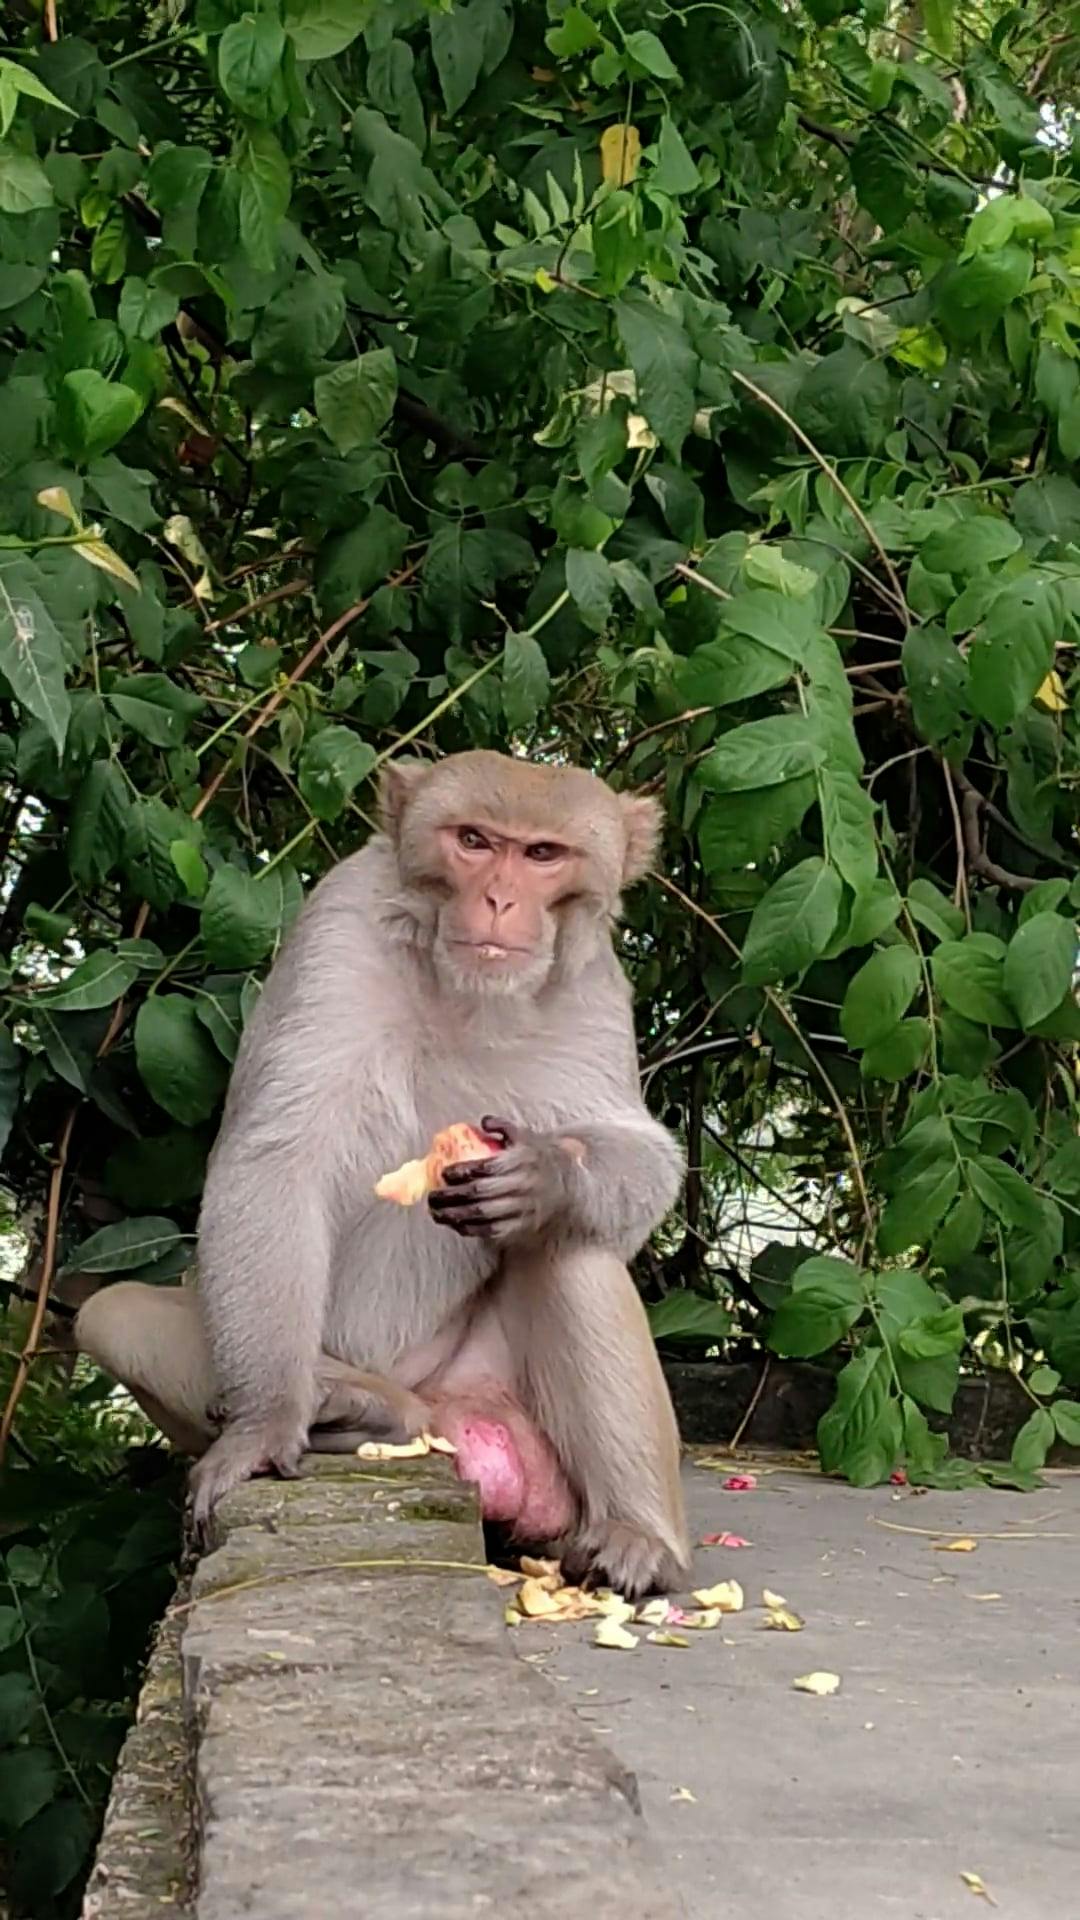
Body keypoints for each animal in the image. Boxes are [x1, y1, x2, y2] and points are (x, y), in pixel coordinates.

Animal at [75, 751, 690, 1597]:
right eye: (473, 840)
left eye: (542, 854)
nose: (499, 899)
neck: (466, 995)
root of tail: (442, 1411)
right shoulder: (337, 927)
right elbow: (277, 1156)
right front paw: (265, 1422)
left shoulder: (596, 983)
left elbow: (641, 1153)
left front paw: (546, 1181)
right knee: (112, 1314)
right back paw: (355, 1409)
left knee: (569, 1248)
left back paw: (637, 1534)